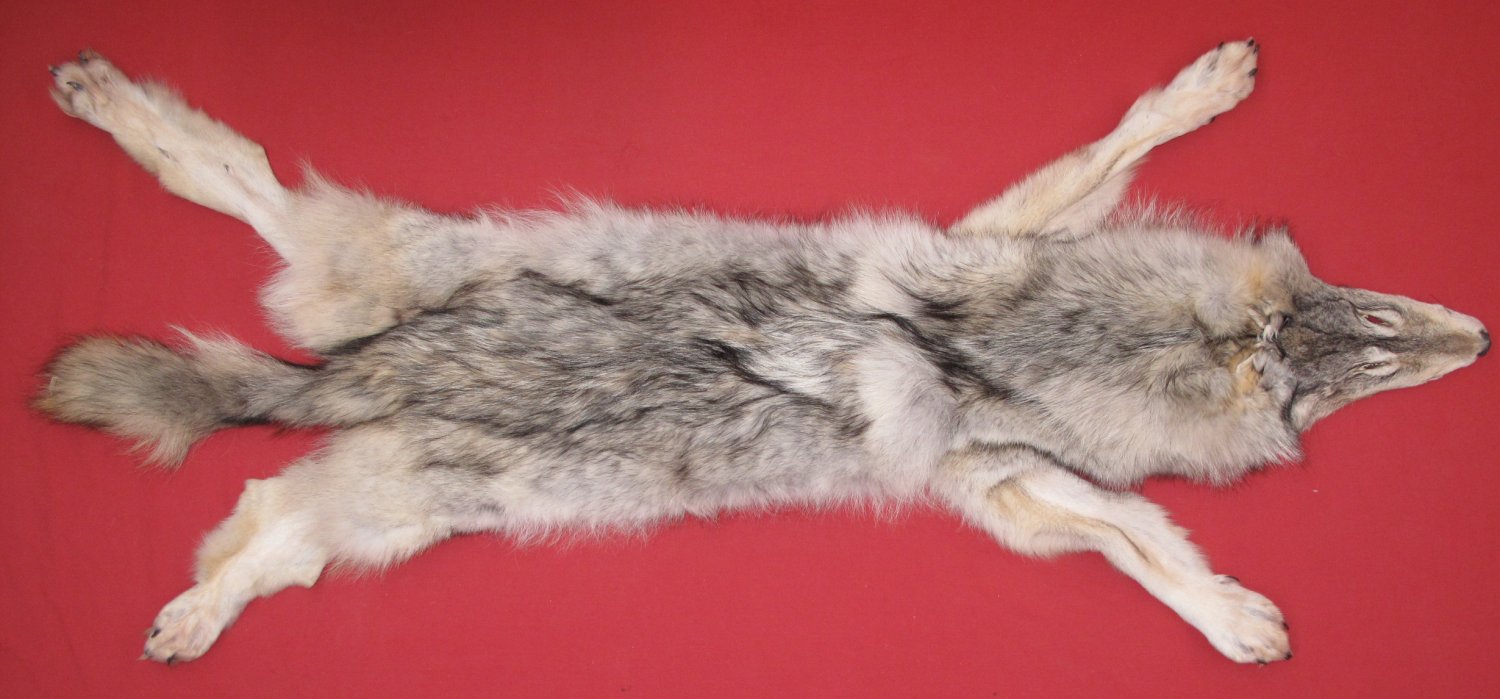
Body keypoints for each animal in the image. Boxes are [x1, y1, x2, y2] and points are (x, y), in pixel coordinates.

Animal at [36, 40, 1488, 665]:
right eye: (1366, 353)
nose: (1477, 334)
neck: (995, 342)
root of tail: (369, 371)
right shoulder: (1009, 468)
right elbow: (1143, 546)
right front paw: (1234, 615)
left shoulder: (999, 375)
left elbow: (1144, 534)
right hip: (393, 491)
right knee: (263, 482)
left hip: (375, 390)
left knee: (257, 454)